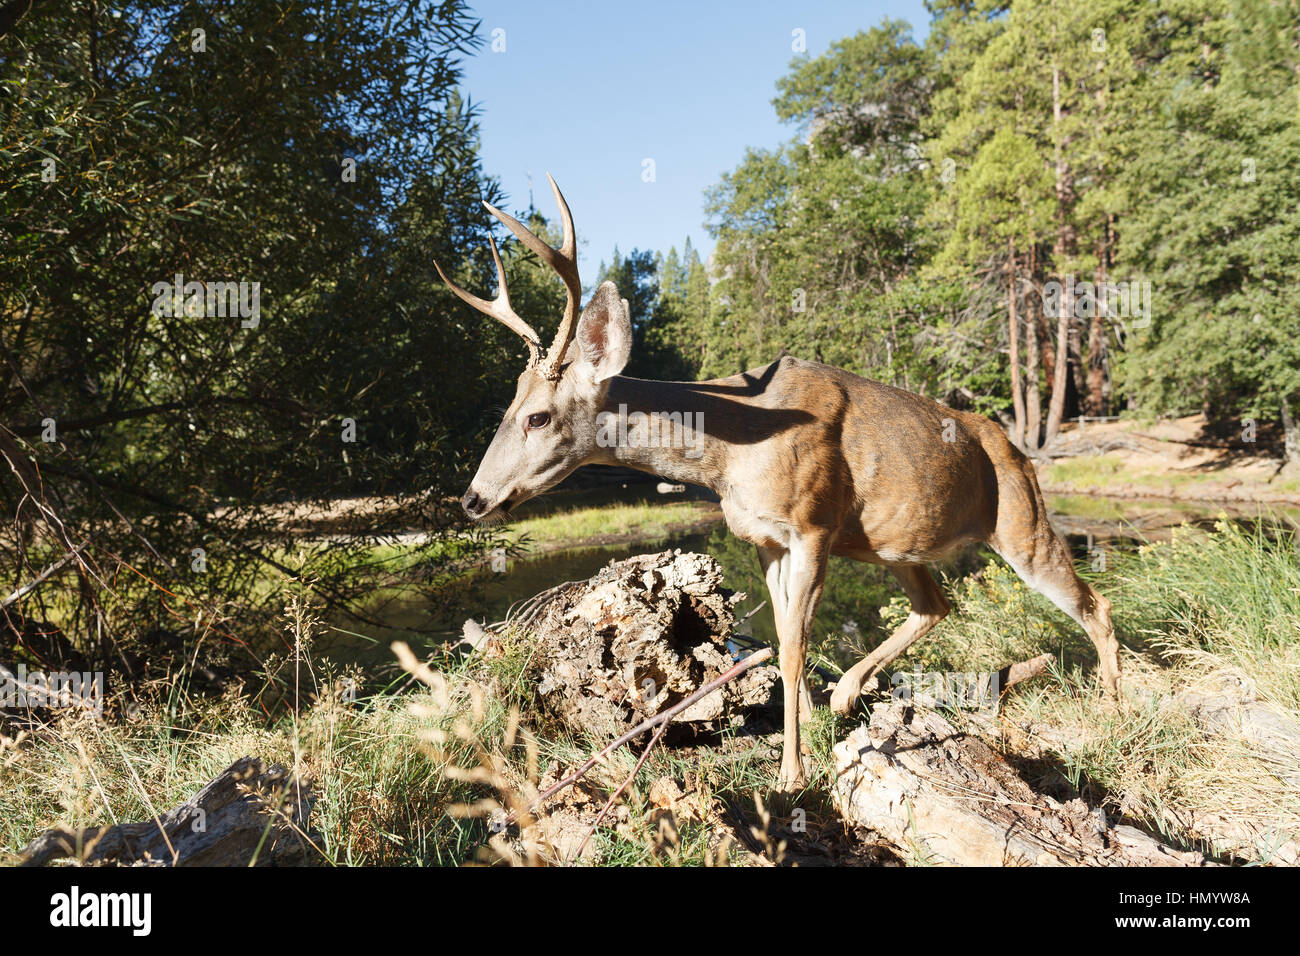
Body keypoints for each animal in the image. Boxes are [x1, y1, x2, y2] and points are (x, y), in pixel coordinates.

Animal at [436, 176, 1121, 792]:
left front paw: (793, 771)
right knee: (937, 604)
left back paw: (1114, 707)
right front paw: (813, 726)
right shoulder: (764, 538)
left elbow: (792, 645)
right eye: (509, 407)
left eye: (537, 416)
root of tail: (1017, 447)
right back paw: (848, 694)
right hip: (899, 546)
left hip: (1022, 521)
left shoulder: (812, 524)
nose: (472, 499)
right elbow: (784, 636)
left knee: (1093, 604)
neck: (729, 450)